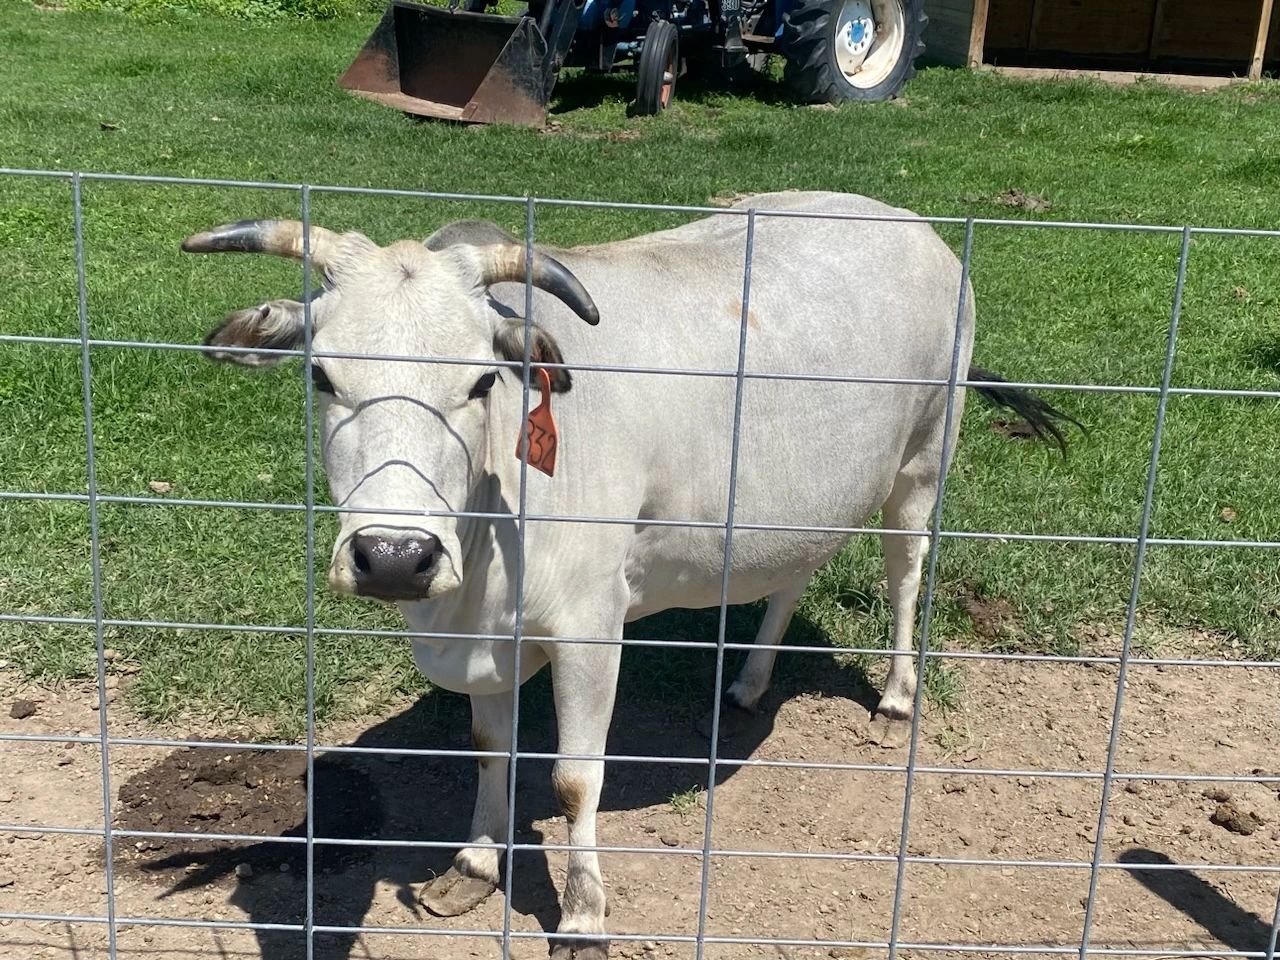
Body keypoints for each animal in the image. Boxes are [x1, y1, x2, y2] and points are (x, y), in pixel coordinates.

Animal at [181, 191, 1077, 959]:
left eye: (481, 380)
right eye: (321, 376)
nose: (395, 557)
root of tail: (914, 227)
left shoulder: (590, 628)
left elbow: (576, 781)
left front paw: (583, 915)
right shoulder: (490, 642)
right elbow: (489, 749)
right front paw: (473, 867)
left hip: (925, 456)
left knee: (905, 571)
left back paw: (895, 697)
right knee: (793, 576)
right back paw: (749, 682)